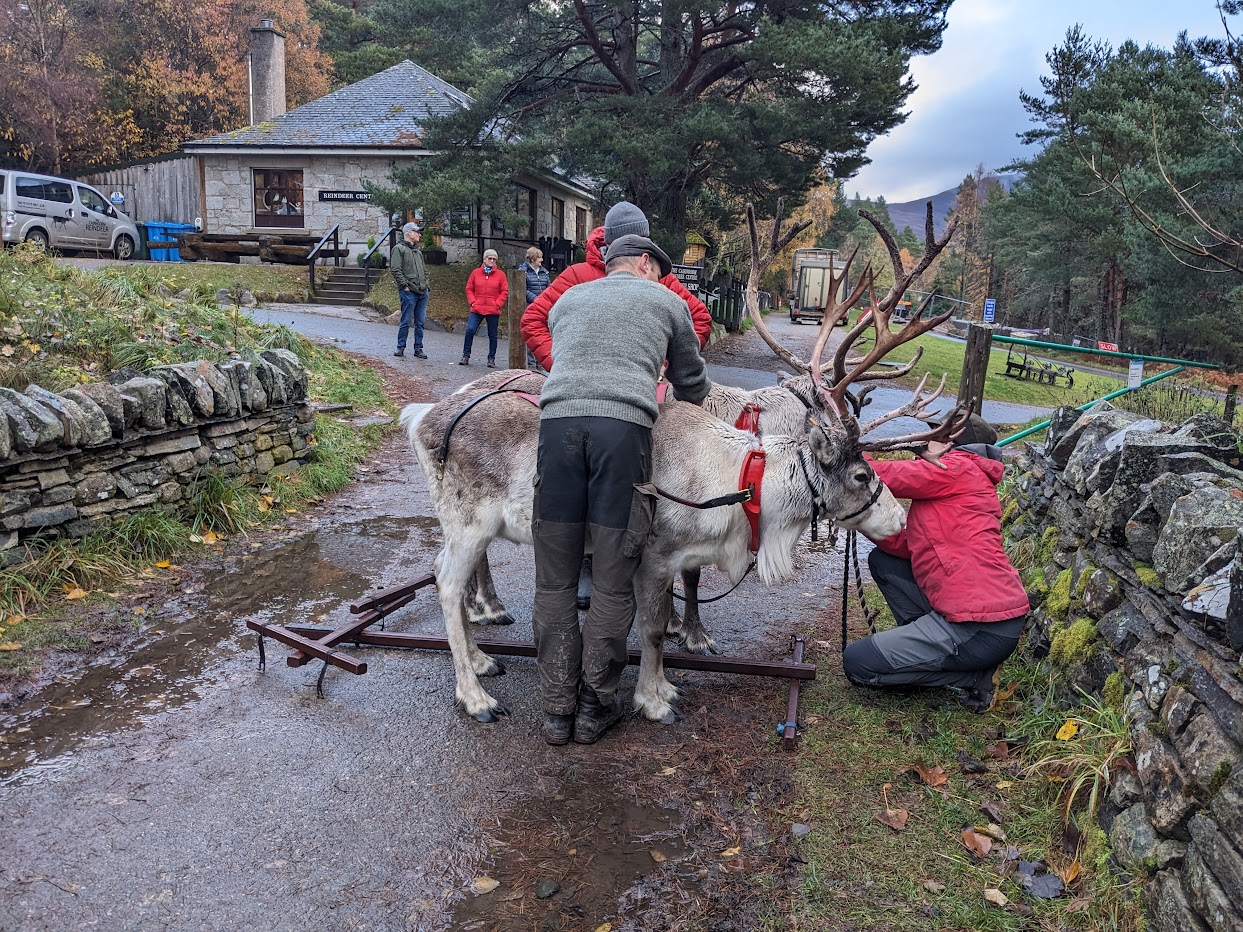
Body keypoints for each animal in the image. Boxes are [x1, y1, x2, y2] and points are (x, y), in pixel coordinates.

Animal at [399, 205, 966, 726]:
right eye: (861, 475)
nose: (900, 520)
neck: (741, 477)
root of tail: (426, 418)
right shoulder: (653, 555)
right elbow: (650, 629)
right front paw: (656, 696)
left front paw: (674, 661)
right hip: (468, 520)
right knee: (446, 581)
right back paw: (475, 693)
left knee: (451, 577)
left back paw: (481, 657)